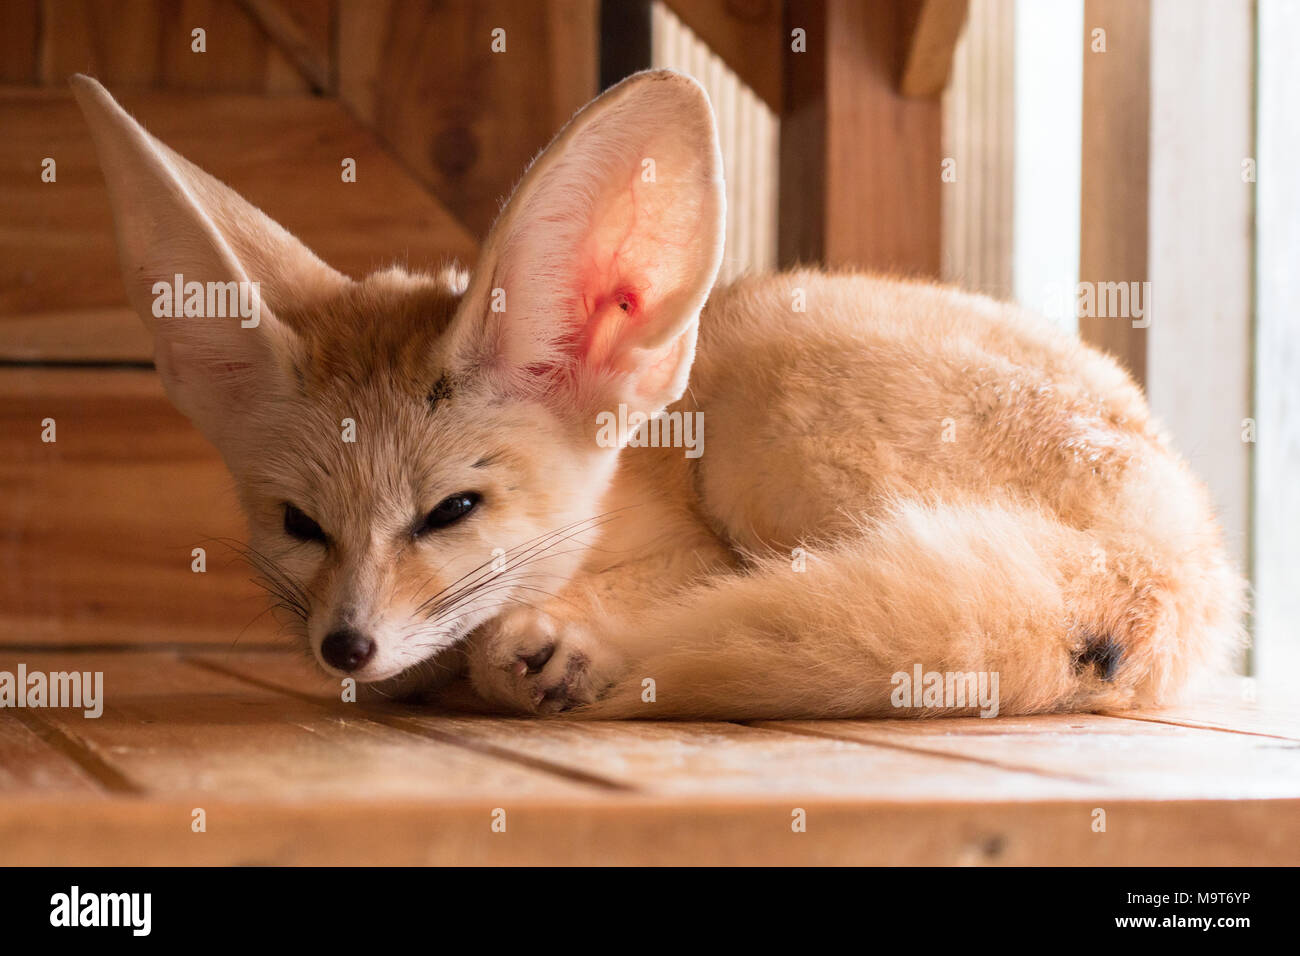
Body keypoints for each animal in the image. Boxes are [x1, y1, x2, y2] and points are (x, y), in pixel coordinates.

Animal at [71, 70, 1245, 719]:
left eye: (453, 510)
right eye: (299, 524)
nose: (343, 648)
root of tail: (1183, 545)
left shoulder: (697, 546)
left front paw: (551, 650)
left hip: (768, 414)